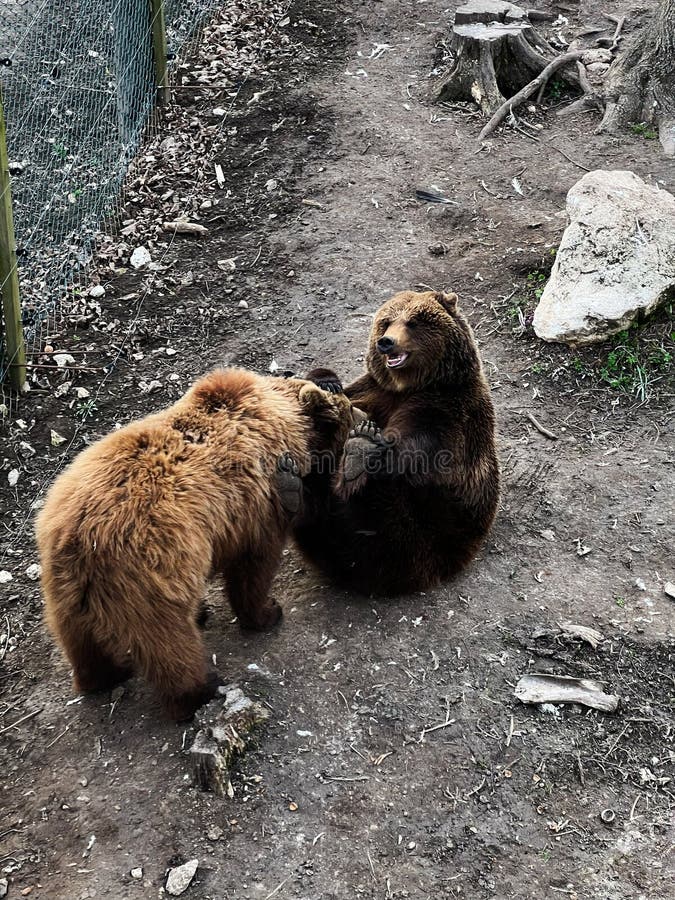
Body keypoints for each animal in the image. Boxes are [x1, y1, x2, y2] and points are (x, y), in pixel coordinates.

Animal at [36, 368, 356, 721]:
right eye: (352, 415)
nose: (360, 418)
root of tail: (78, 538)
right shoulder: (256, 506)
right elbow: (254, 566)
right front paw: (266, 611)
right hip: (148, 578)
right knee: (170, 645)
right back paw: (201, 689)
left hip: (65, 591)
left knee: (79, 642)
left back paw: (101, 675)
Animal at [294, 289, 500, 595]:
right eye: (387, 322)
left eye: (413, 322)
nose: (386, 342)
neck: (411, 385)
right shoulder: (375, 391)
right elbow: (346, 392)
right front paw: (326, 383)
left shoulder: (450, 406)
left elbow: (423, 448)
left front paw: (367, 441)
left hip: (427, 535)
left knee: (377, 519)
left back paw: (355, 456)